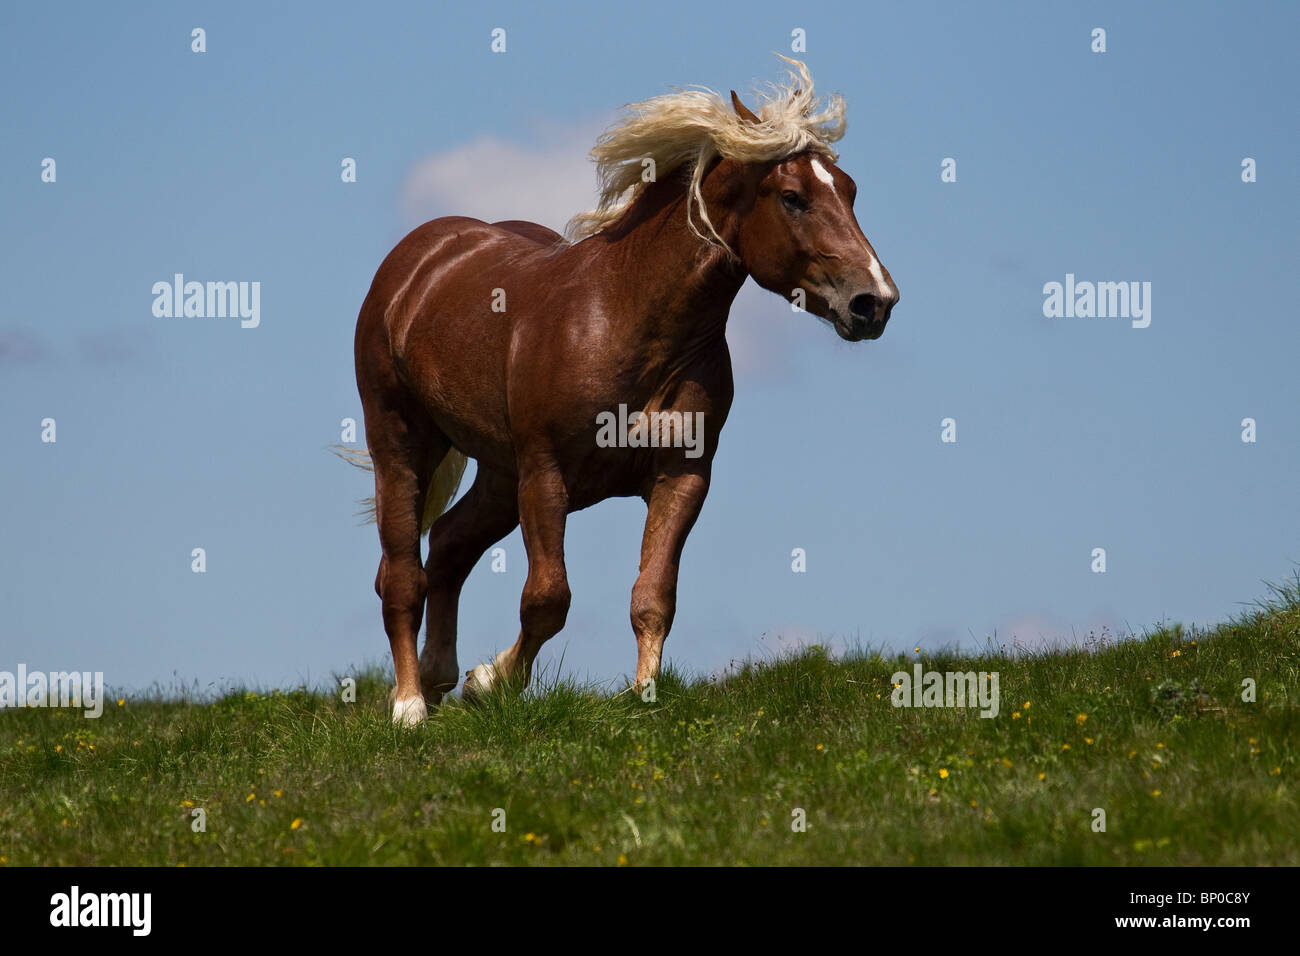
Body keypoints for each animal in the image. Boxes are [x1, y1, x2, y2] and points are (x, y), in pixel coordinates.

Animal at [350, 57, 899, 725]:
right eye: (793, 197)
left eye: (849, 190)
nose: (875, 301)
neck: (622, 321)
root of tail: (420, 259)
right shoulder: (545, 475)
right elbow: (547, 598)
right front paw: (494, 681)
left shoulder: (681, 476)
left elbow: (653, 596)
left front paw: (641, 695)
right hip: (402, 441)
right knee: (402, 572)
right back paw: (409, 704)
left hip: (499, 473)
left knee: (450, 544)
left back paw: (438, 678)